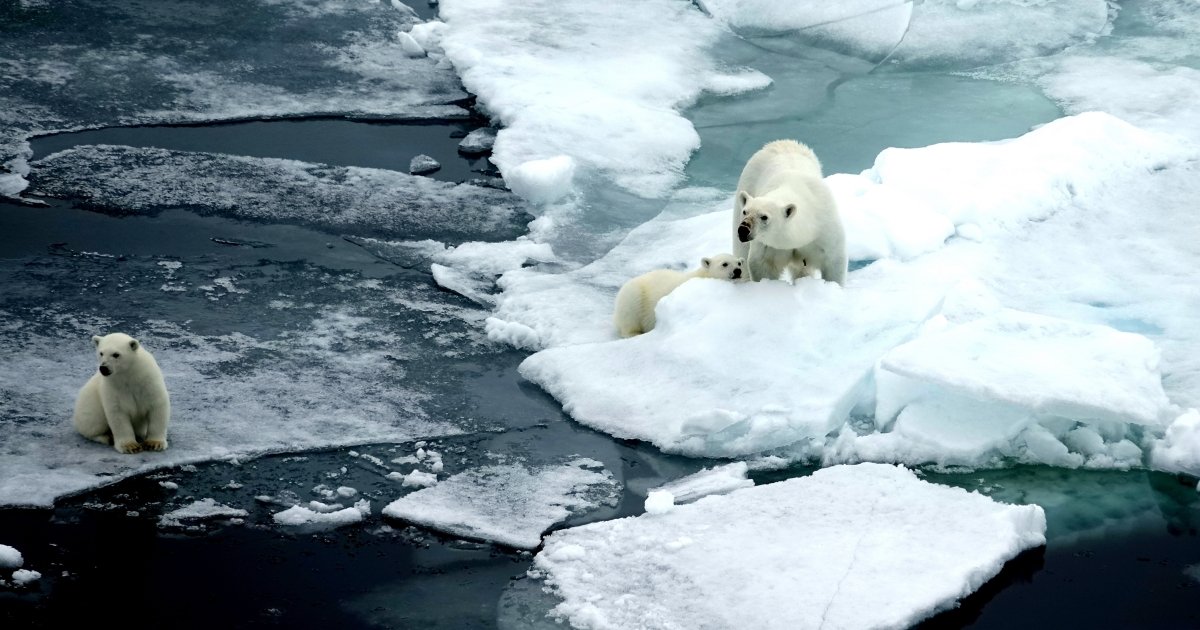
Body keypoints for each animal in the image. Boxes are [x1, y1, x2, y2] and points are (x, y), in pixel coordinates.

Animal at [613, 254, 744, 338]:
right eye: (725, 264)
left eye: (739, 263)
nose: (738, 271)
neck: (701, 276)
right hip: (633, 294)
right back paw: (633, 333)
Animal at [733, 139, 847, 285]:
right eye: (745, 212)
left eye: (764, 217)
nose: (743, 229)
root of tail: (781, 142)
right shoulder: (768, 246)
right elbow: (761, 265)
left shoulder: (825, 228)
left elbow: (834, 261)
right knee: (741, 250)